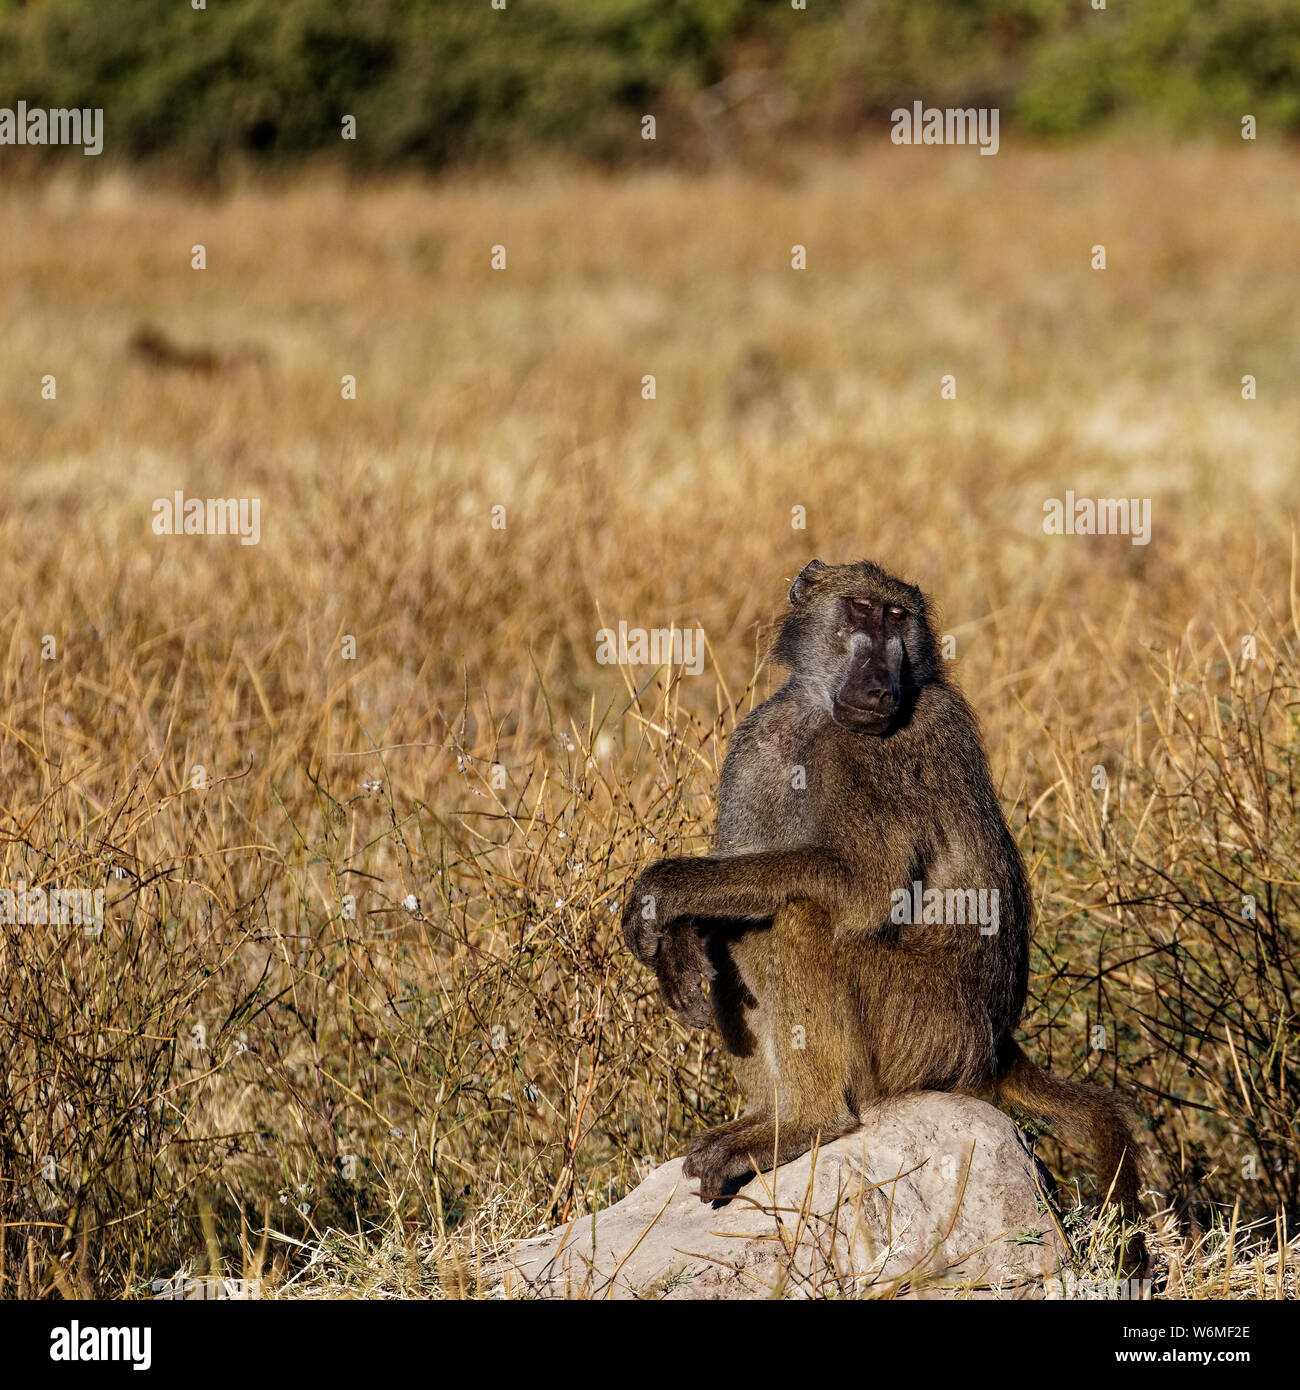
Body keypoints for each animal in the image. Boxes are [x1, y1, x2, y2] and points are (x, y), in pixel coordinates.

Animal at [622, 558, 1146, 1274]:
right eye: (862, 610)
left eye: (899, 619)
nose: (878, 683)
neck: (816, 716)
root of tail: (994, 1048)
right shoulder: (758, 742)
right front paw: (679, 938)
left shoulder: (876, 756)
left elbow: (861, 887)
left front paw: (664, 891)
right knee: (747, 930)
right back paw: (767, 1118)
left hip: (920, 1026)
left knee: (787, 920)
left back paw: (807, 1123)